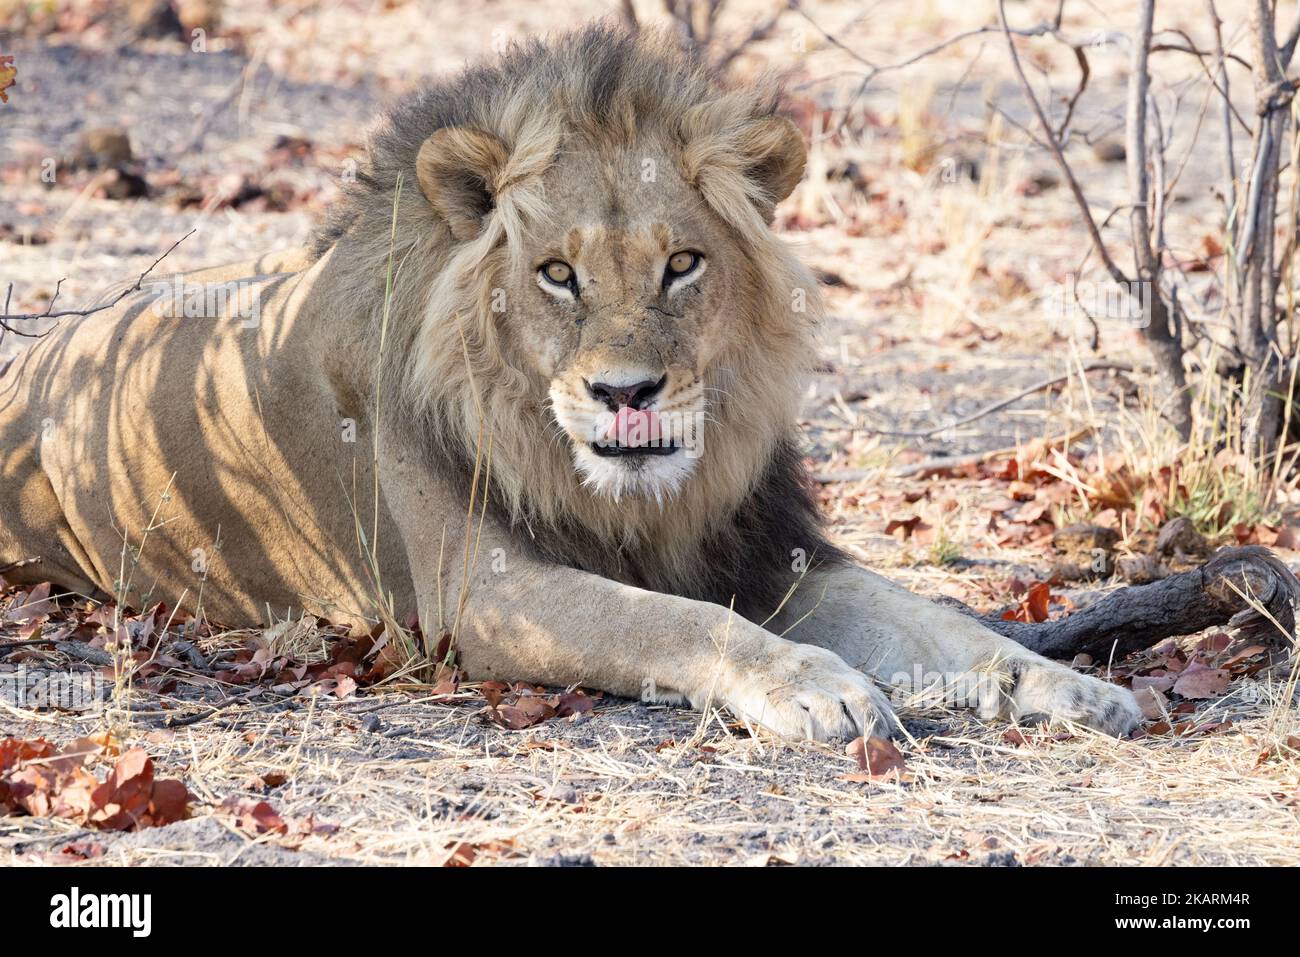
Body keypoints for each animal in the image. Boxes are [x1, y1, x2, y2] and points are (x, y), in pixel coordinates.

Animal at [0, 24, 1140, 741]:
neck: (635, 500)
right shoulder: (490, 595)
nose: (627, 393)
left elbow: (942, 620)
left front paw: (1074, 689)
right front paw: (821, 685)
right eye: (557, 274)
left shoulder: (768, 551)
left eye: (682, 263)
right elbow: (676, 622)